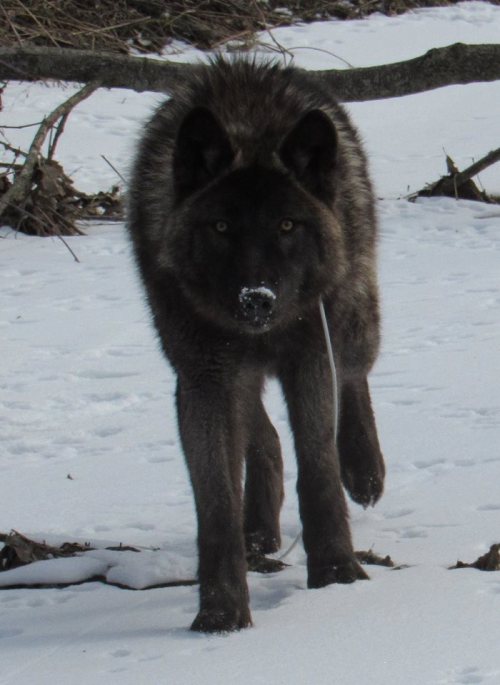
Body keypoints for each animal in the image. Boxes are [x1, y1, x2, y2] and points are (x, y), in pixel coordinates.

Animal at [127, 57, 385, 633]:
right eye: (221, 225)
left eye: (287, 224)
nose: (256, 299)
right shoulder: (204, 378)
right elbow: (216, 505)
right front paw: (221, 612)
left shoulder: (309, 358)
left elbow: (319, 471)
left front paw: (337, 574)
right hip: (232, 375)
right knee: (262, 435)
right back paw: (260, 533)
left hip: (350, 314)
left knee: (354, 375)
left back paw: (365, 470)